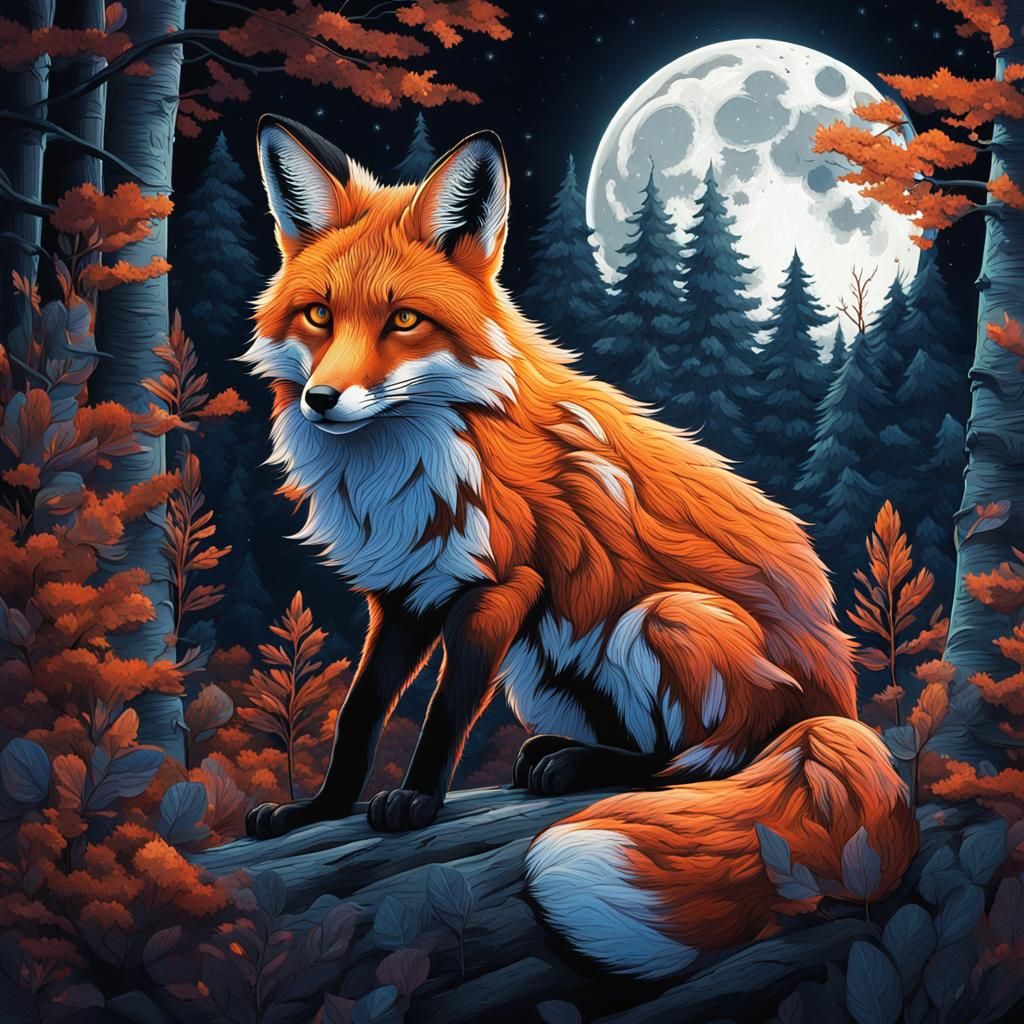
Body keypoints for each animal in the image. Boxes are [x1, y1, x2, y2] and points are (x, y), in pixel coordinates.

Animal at [242, 114, 919, 979]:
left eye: (404, 321)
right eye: (319, 317)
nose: (323, 400)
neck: (405, 470)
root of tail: (839, 705)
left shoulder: (501, 586)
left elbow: (443, 714)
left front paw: (416, 800)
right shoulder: (404, 594)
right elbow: (359, 717)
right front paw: (319, 808)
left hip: (665, 618)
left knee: (702, 761)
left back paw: (583, 767)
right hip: (544, 672)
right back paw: (561, 756)